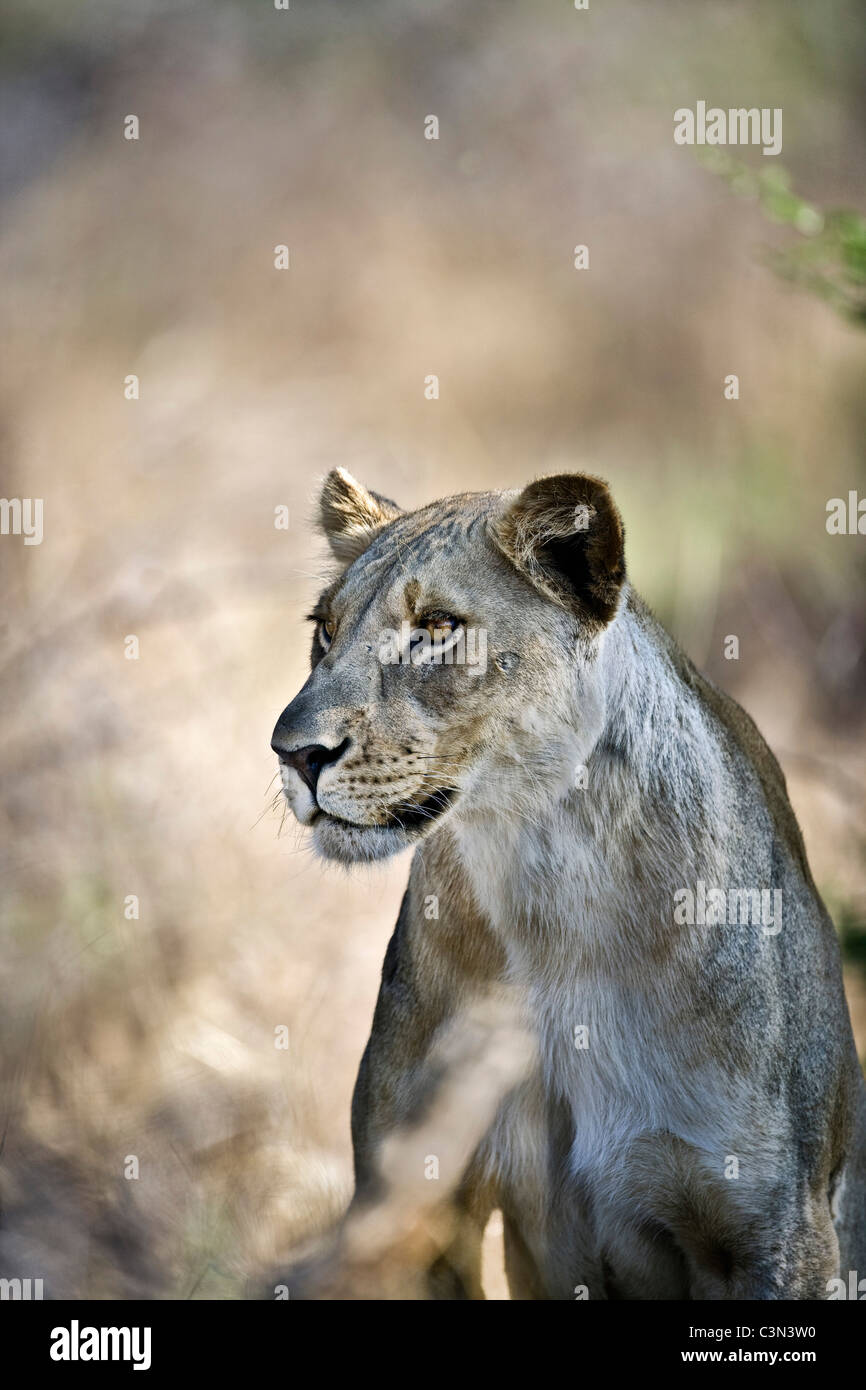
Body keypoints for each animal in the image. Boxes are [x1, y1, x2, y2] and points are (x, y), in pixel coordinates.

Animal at [271, 467, 866, 1299]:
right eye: (324, 628)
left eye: (438, 626)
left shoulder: (779, 1231)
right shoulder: (414, 1202)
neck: (547, 887)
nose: (293, 753)